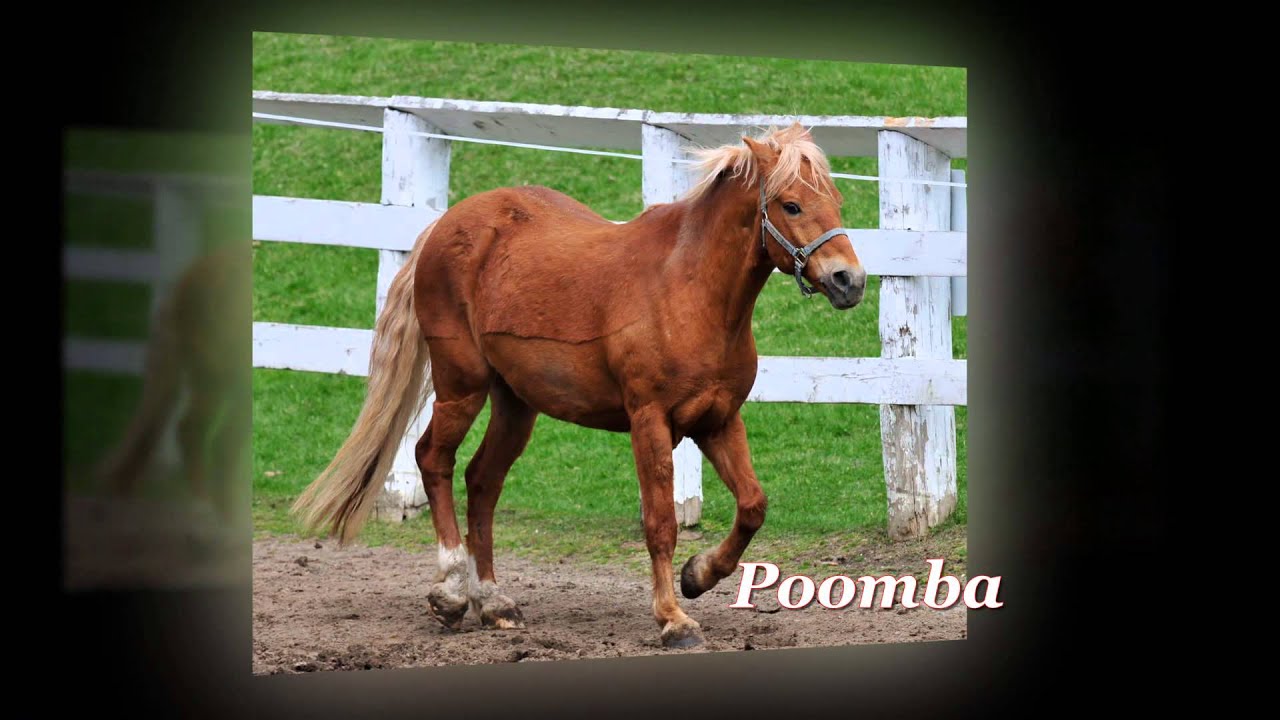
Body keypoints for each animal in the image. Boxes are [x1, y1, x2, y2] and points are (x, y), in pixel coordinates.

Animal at [292, 121, 866, 649]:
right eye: (791, 205)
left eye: (836, 200)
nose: (849, 281)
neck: (688, 292)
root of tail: (442, 226)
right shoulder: (649, 421)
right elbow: (660, 522)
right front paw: (672, 619)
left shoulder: (717, 419)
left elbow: (752, 506)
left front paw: (697, 576)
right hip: (462, 385)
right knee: (433, 458)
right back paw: (451, 592)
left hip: (516, 403)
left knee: (482, 480)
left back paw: (494, 602)